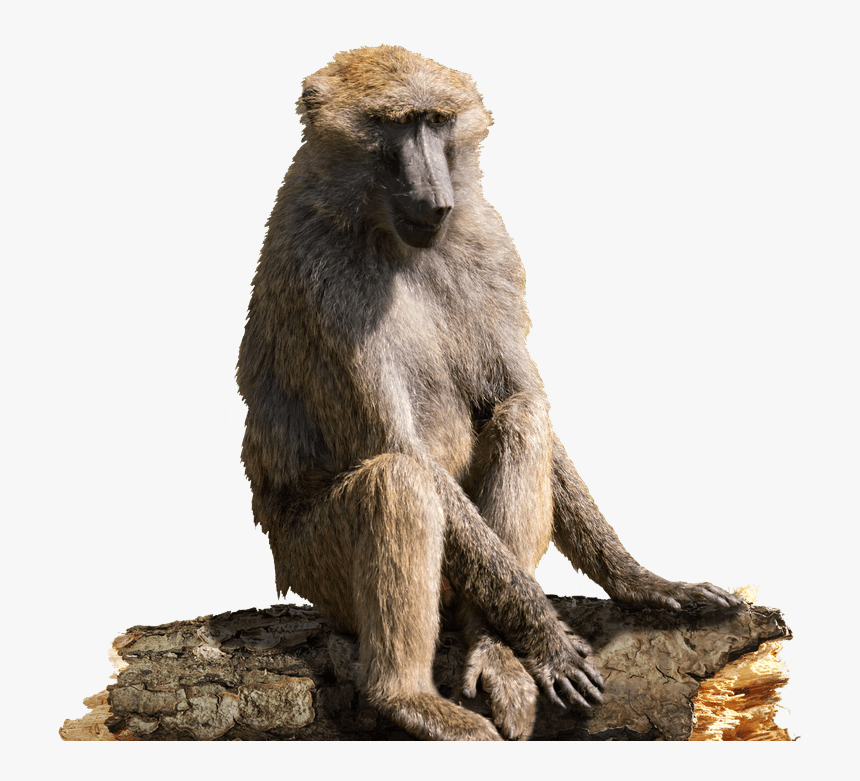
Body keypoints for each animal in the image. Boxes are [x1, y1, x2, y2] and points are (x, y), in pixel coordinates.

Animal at [237, 45, 743, 741]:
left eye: (436, 121)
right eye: (392, 124)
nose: (436, 199)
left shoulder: (490, 249)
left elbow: (524, 400)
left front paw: (643, 583)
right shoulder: (320, 281)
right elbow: (406, 454)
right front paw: (548, 641)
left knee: (522, 415)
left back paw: (492, 648)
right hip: (312, 568)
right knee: (397, 483)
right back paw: (406, 697)